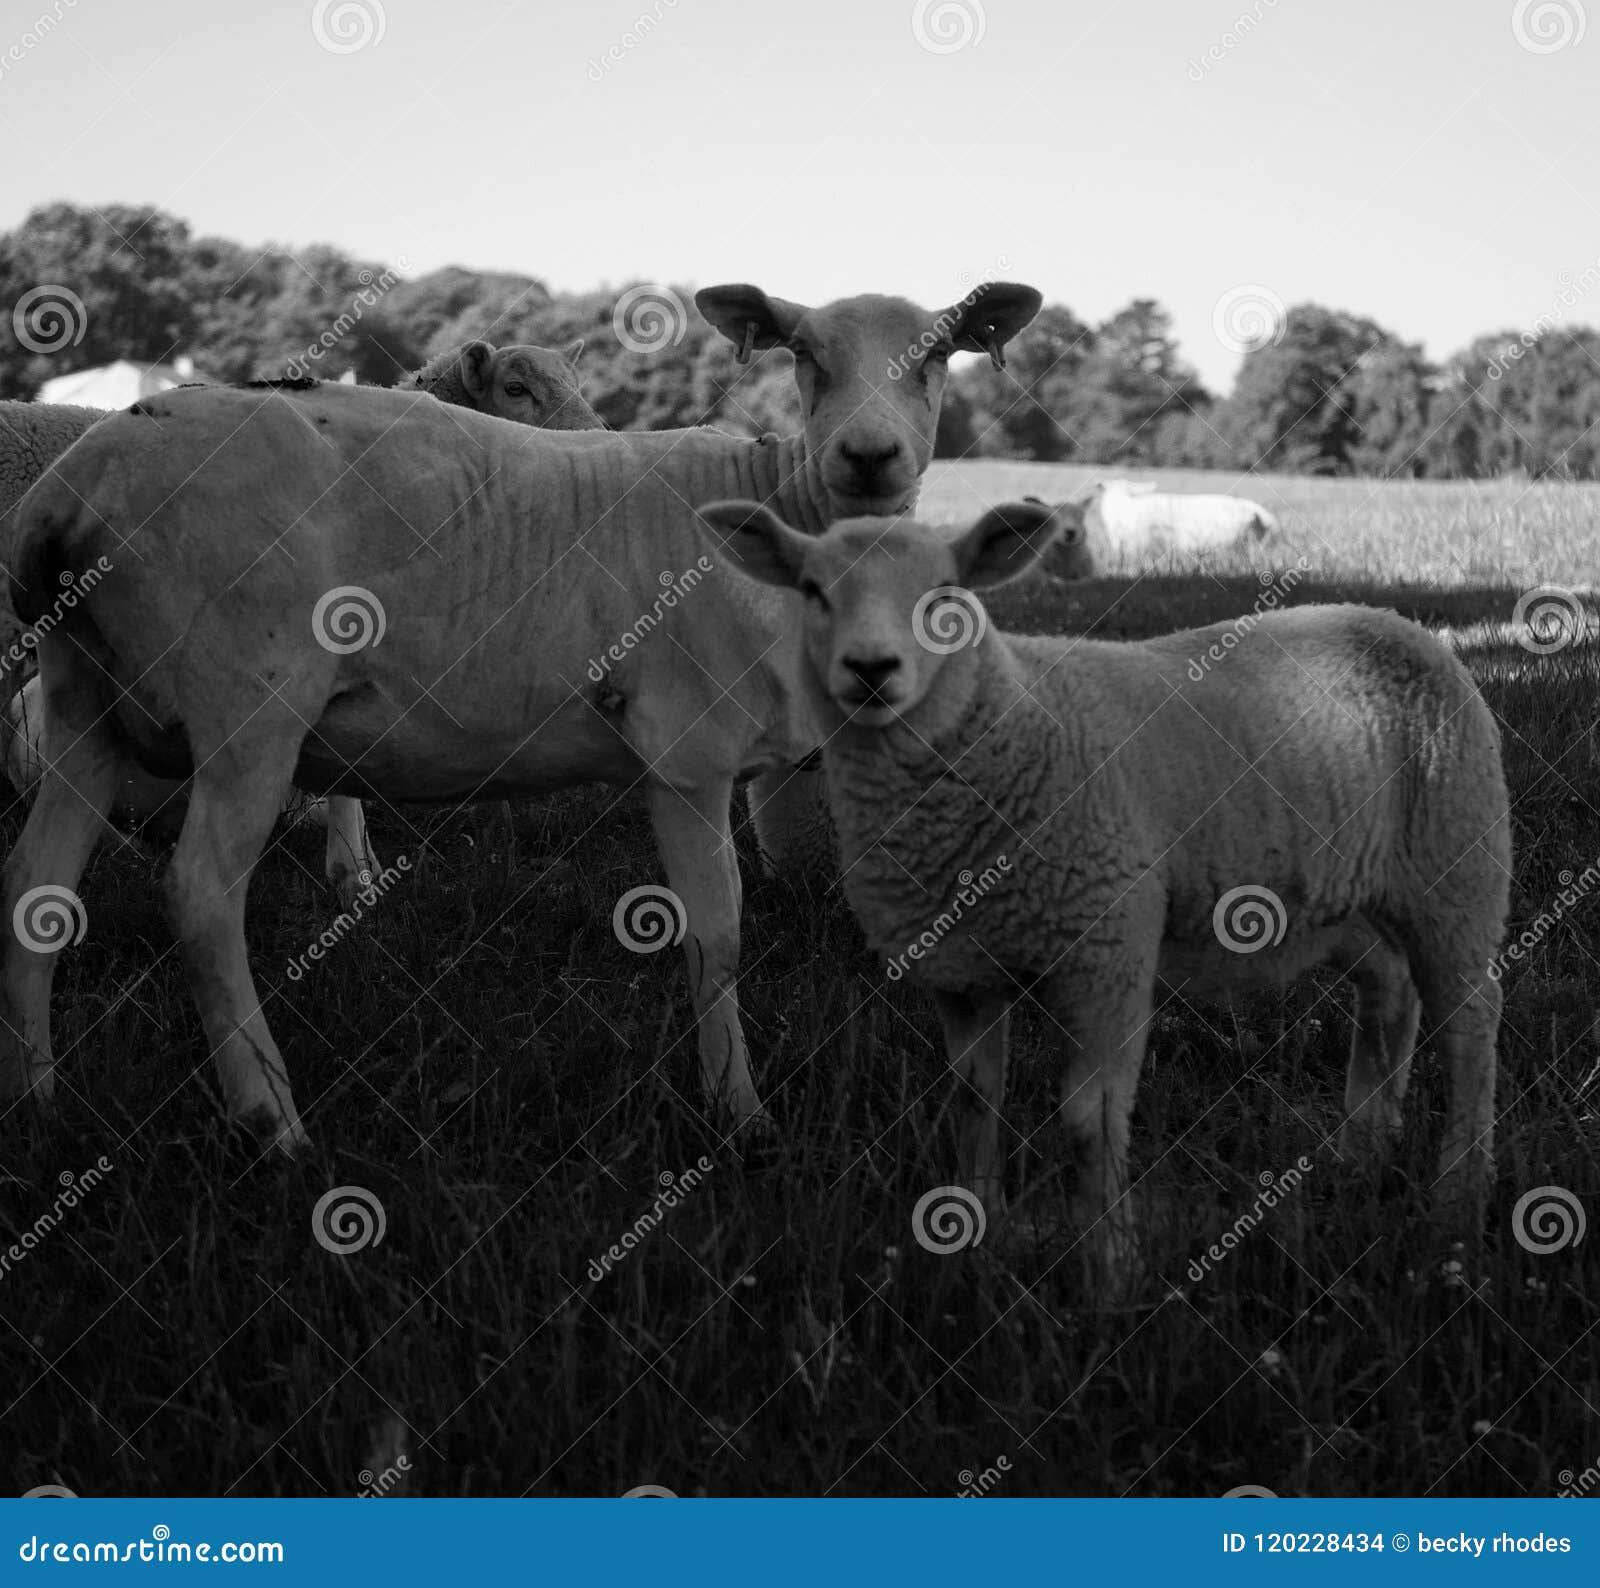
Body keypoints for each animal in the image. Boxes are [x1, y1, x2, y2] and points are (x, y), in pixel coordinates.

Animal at [700, 496, 1509, 1288]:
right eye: (812, 591)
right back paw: (1363, 1148)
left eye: (944, 596)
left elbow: (1090, 1119)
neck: (1008, 721)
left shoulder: (1108, 952)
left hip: (1459, 864)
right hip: (1350, 895)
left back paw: (1459, 1202)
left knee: (1471, 1022)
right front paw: (975, 1242)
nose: (871, 669)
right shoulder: (960, 968)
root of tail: (1394, 619)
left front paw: (1111, 1274)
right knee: (1390, 988)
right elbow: (973, 1097)